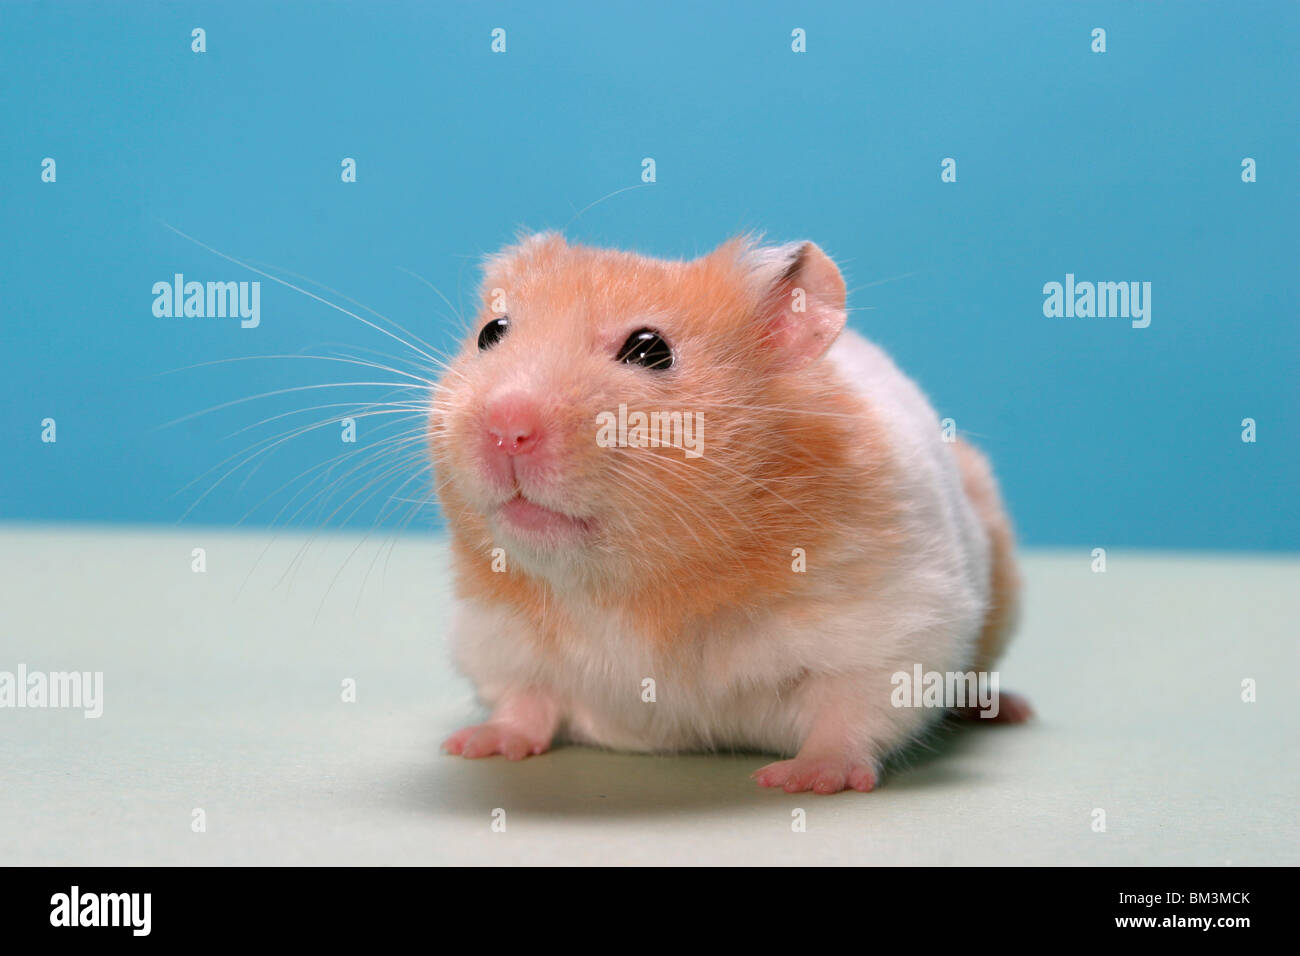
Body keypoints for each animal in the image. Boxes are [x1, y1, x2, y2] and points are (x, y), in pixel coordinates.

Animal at [431, 233, 1029, 793]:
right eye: (490, 333)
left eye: (649, 351)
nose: (506, 426)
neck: (626, 580)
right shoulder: (497, 633)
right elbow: (522, 699)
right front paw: (472, 745)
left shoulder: (894, 625)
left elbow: (851, 713)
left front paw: (804, 779)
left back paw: (1006, 710)